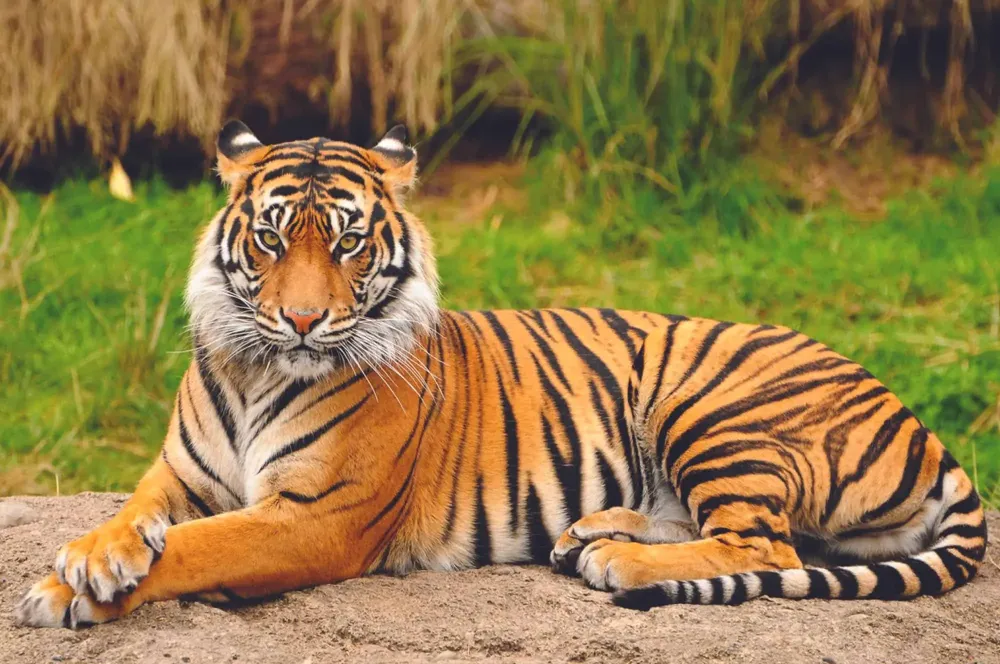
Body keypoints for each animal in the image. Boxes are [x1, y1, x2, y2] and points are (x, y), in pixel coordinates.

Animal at [15, 121, 987, 628]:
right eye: (269, 238)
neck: (259, 370)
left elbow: (200, 546)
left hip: (710, 403)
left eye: (348, 243)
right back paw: (591, 534)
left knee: (767, 544)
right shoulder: (179, 474)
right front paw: (92, 557)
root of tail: (921, 424)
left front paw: (65, 591)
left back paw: (619, 563)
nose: (302, 320)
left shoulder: (316, 517)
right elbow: (136, 516)